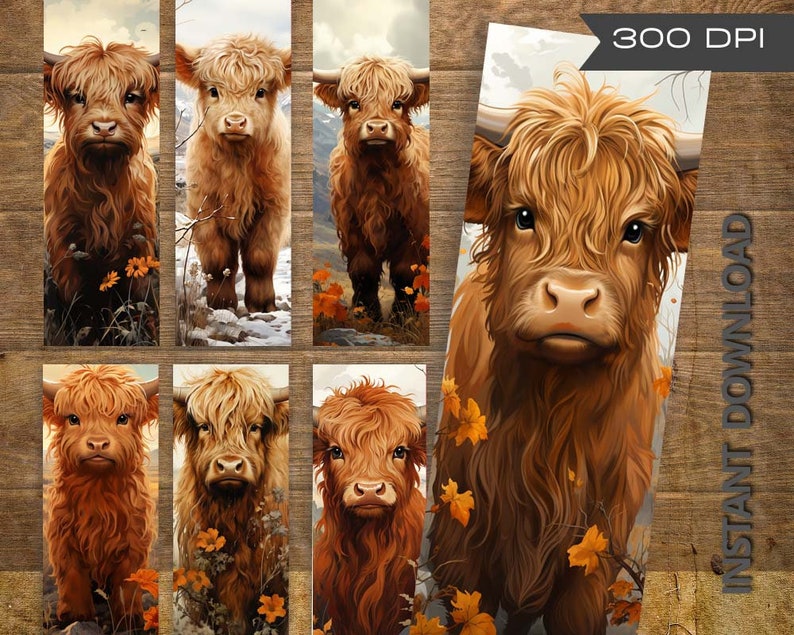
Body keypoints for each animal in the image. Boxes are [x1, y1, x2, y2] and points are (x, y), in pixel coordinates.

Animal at [43, 365, 158, 625]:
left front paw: (129, 617)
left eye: (123, 418)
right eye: (73, 418)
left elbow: (128, 582)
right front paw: (76, 615)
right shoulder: (64, 538)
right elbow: (73, 578)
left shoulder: (133, 541)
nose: (97, 444)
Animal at [44, 39, 159, 337]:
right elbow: (78, 304)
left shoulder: (139, 243)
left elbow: (137, 298)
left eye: (131, 96)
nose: (105, 127)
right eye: (78, 96)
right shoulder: (65, 246)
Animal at [175, 34, 291, 313]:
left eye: (260, 91)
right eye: (213, 91)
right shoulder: (204, 207)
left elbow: (259, 259)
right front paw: (221, 304)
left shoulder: (273, 206)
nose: (236, 122)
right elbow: (218, 261)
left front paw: (262, 305)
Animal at [313, 56, 430, 321]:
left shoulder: (413, 231)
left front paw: (401, 318)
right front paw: (367, 315)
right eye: (354, 103)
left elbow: (405, 274)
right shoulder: (352, 230)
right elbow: (363, 271)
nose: (376, 128)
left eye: (397, 103)